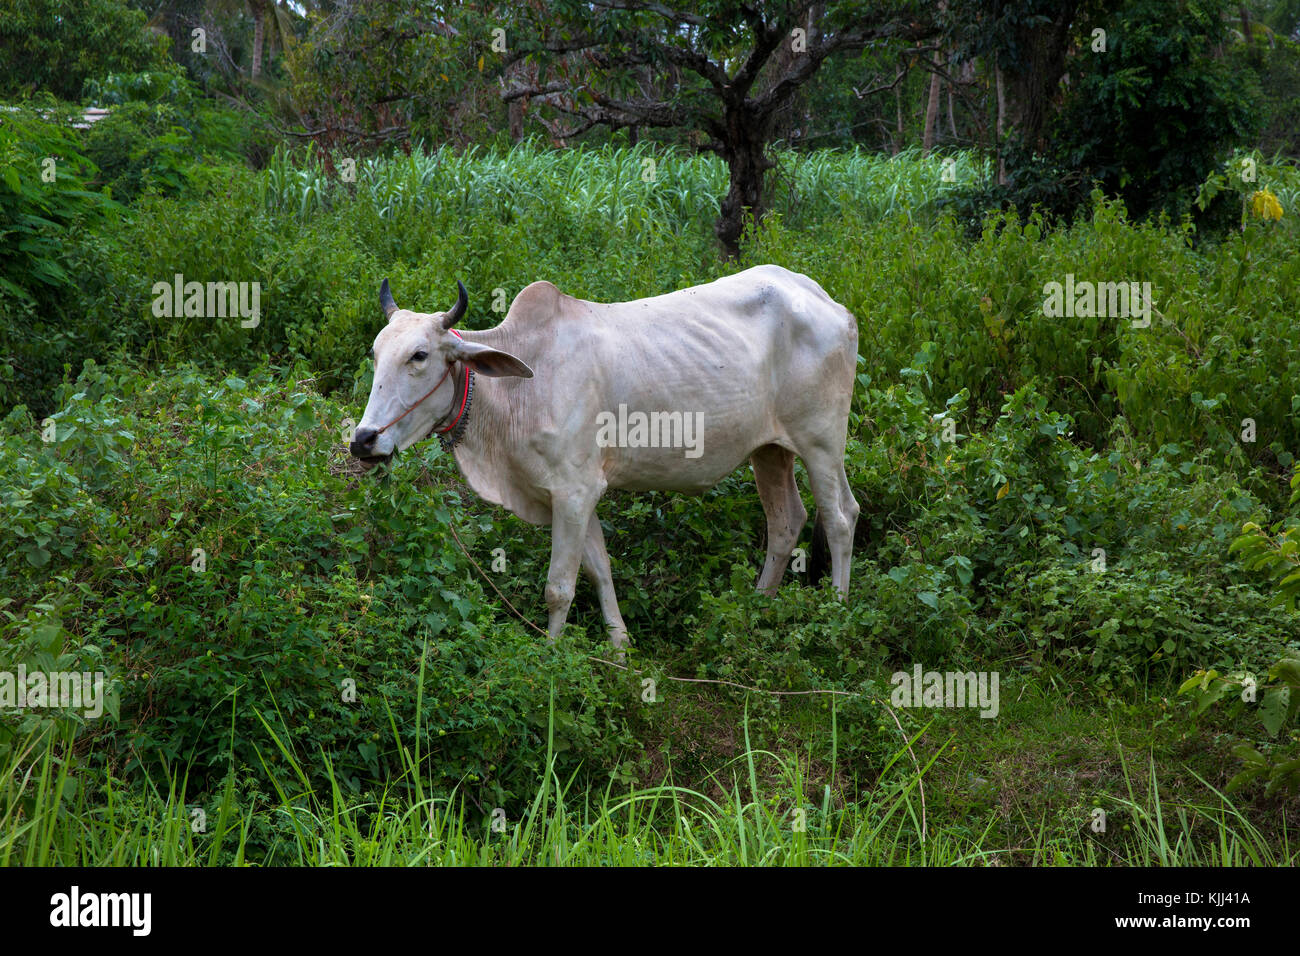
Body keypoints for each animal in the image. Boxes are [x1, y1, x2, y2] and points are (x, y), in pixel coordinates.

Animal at [349, 265, 860, 651]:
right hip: (768, 451)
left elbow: (559, 587)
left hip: (822, 441)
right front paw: (620, 647)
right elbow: (598, 569)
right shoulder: (576, 493)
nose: (363, 440)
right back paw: (758, 608)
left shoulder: (574, 490)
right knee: (786, 521)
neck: (518, 390)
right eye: (374, 352)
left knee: (840, 516)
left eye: (419, 355)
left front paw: (551, 657)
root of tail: (826, 299)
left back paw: (836, 615)